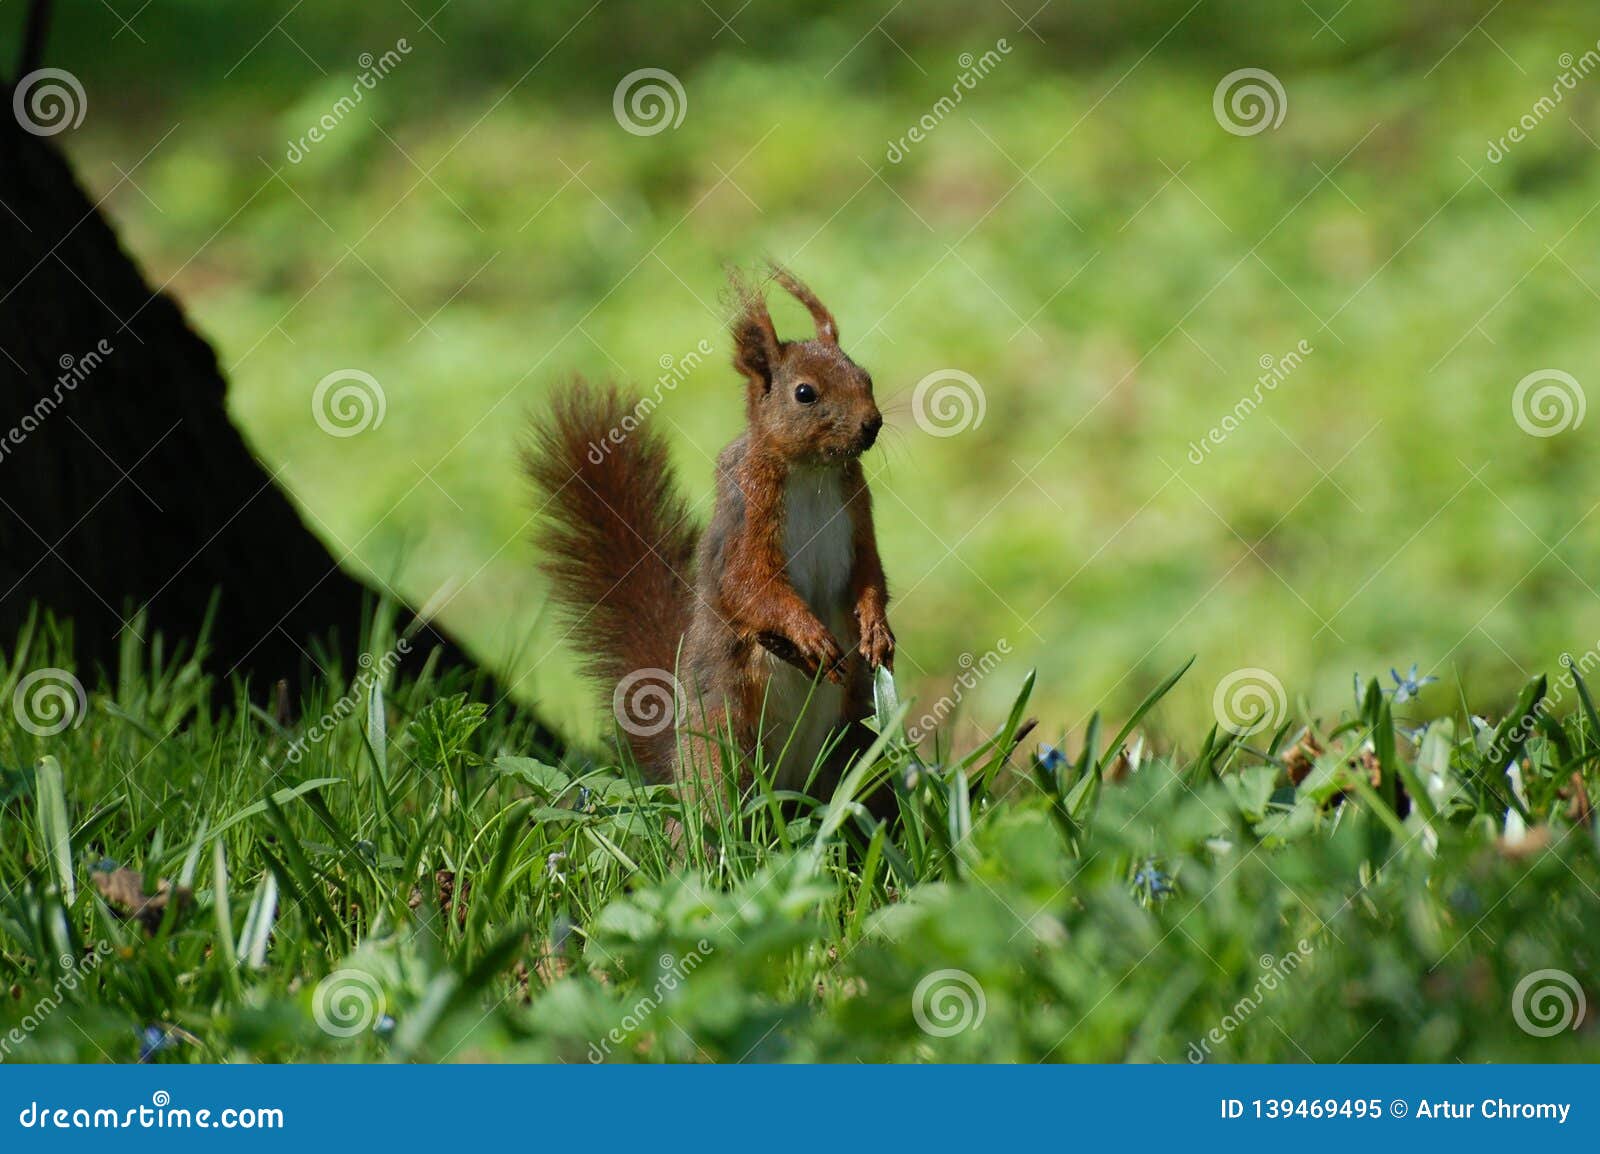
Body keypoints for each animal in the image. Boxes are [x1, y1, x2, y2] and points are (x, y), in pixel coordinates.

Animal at [523, 266, 895, 817]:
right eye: (805, 393)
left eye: (865, 377)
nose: (872, 424)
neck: (813, 471)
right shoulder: (747, 511)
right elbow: (748, 583)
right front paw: (808, 634)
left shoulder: (859, 513)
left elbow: (869, 574)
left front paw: (876, 628)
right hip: (721, 736)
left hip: (857, 745)